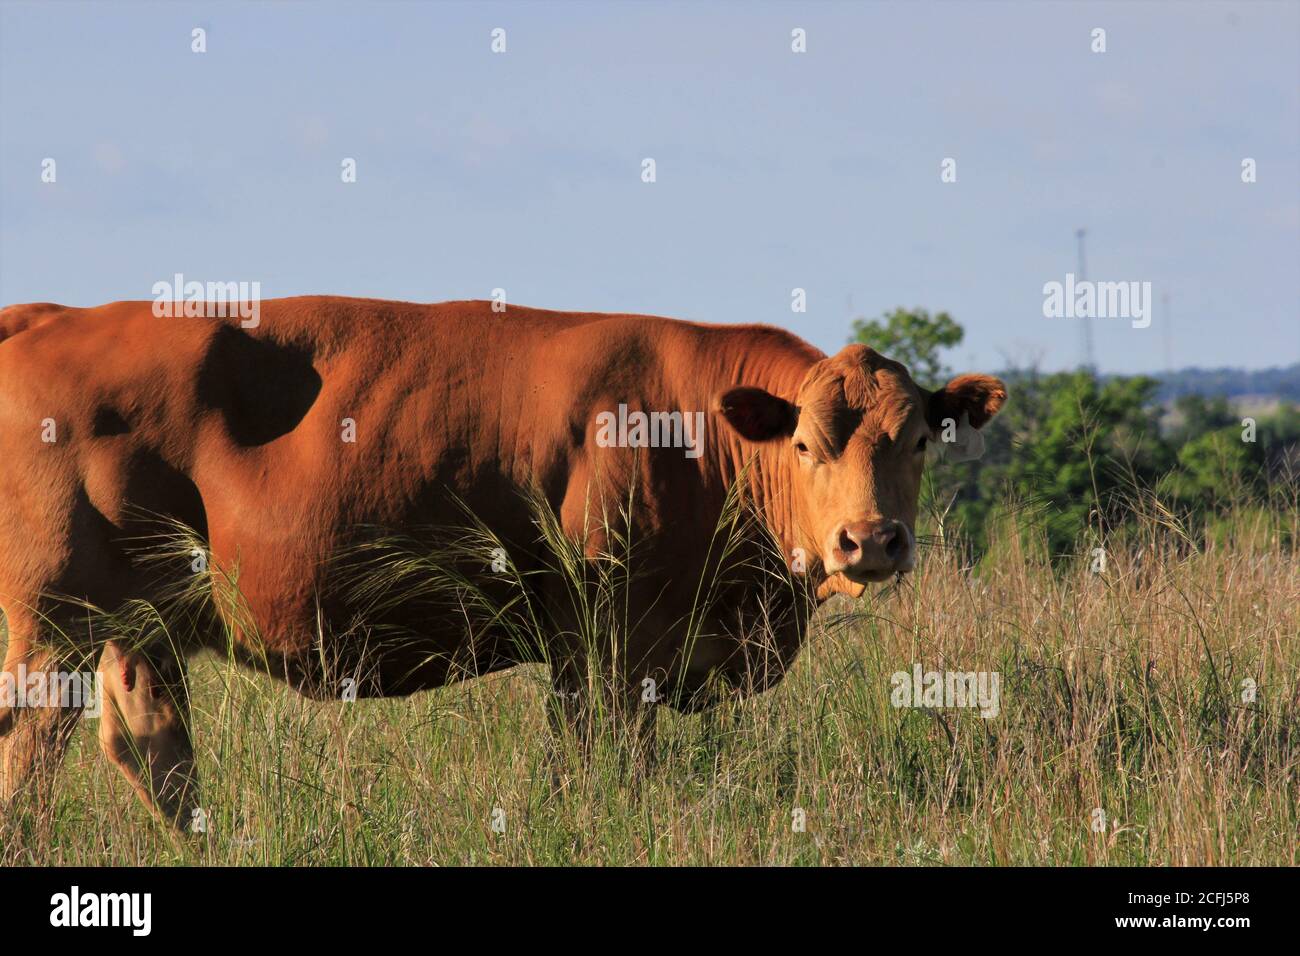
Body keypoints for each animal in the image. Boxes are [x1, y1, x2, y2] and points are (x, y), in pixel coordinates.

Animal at [0, 296, 1005, 826]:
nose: (869, 540)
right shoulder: (610, 643)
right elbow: (602, 761)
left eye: (920, 439)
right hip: (53, 623)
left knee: (150, 745)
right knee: (31, 744)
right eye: (804, 444)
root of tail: (55, 316)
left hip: (141, 622)